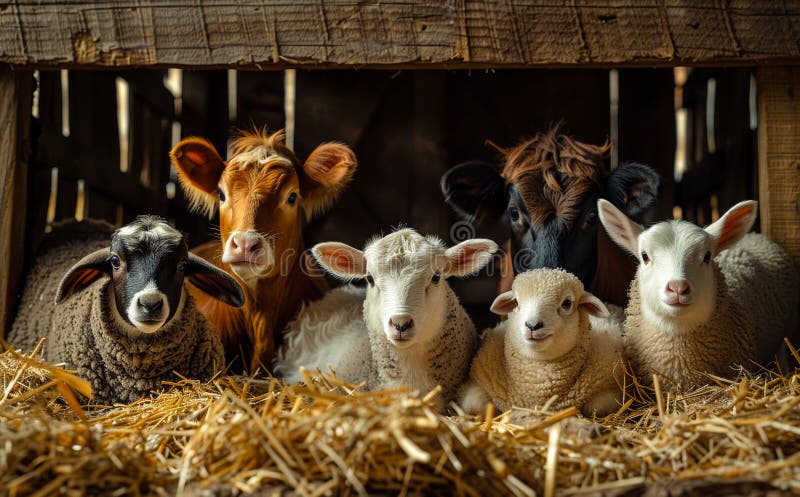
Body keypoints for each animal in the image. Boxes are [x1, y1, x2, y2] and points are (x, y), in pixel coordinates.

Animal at [460, 269, 624, 418]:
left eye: (567, 303)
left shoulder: (612, 390)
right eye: (516, 302)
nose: (532, 325)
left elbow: (595, 407)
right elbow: (475, 404)